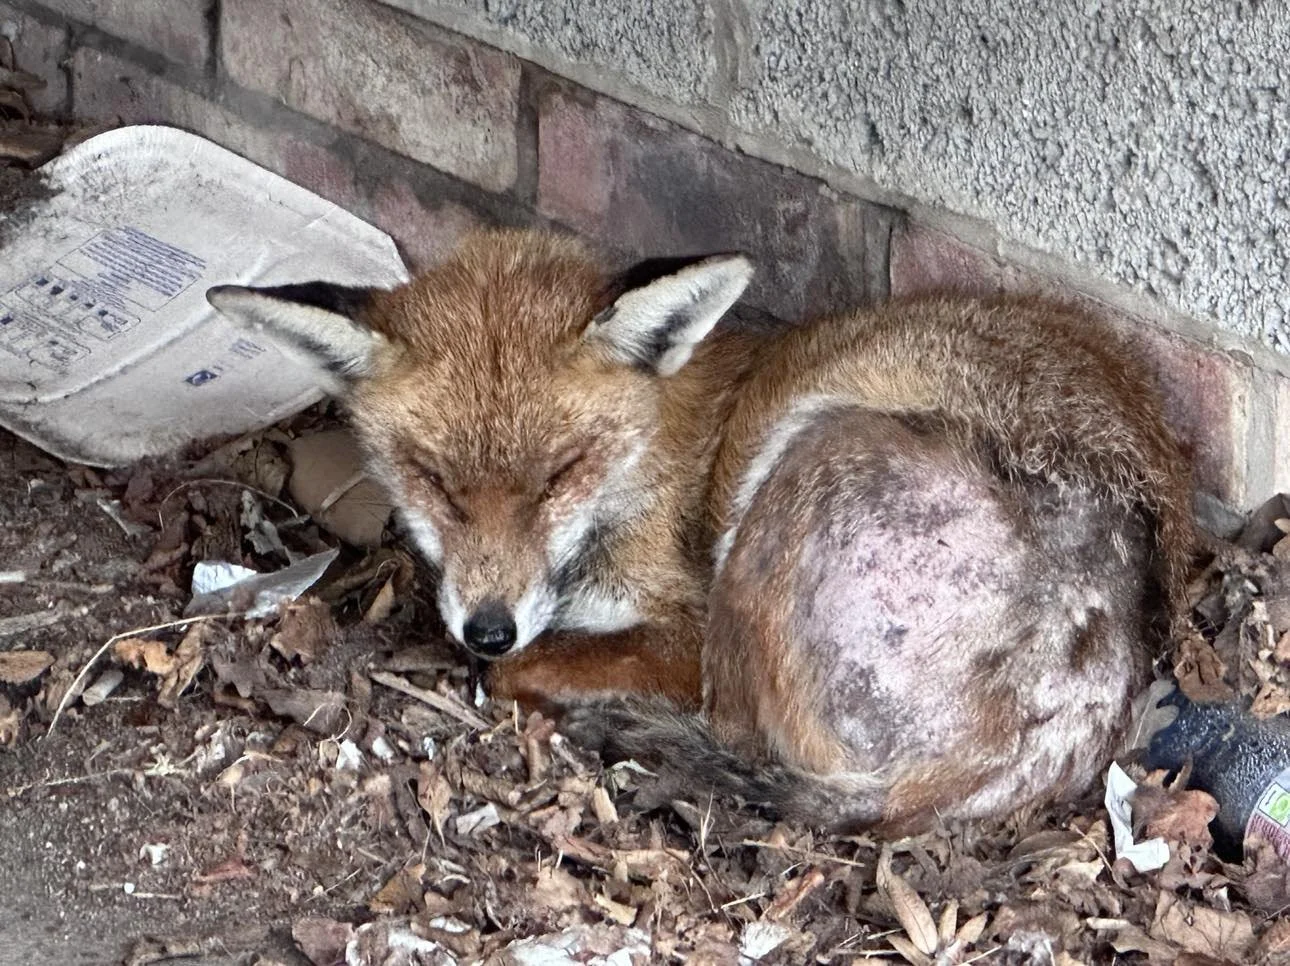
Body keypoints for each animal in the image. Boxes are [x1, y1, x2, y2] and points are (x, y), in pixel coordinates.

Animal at [207, 228, 1193, 833]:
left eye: (561, 473)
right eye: (436, 481)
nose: (487, 627)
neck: (648, 473)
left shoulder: (682, 630)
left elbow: (534, 666)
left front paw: (512, 669)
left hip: (810, 458)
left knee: (736, 730)